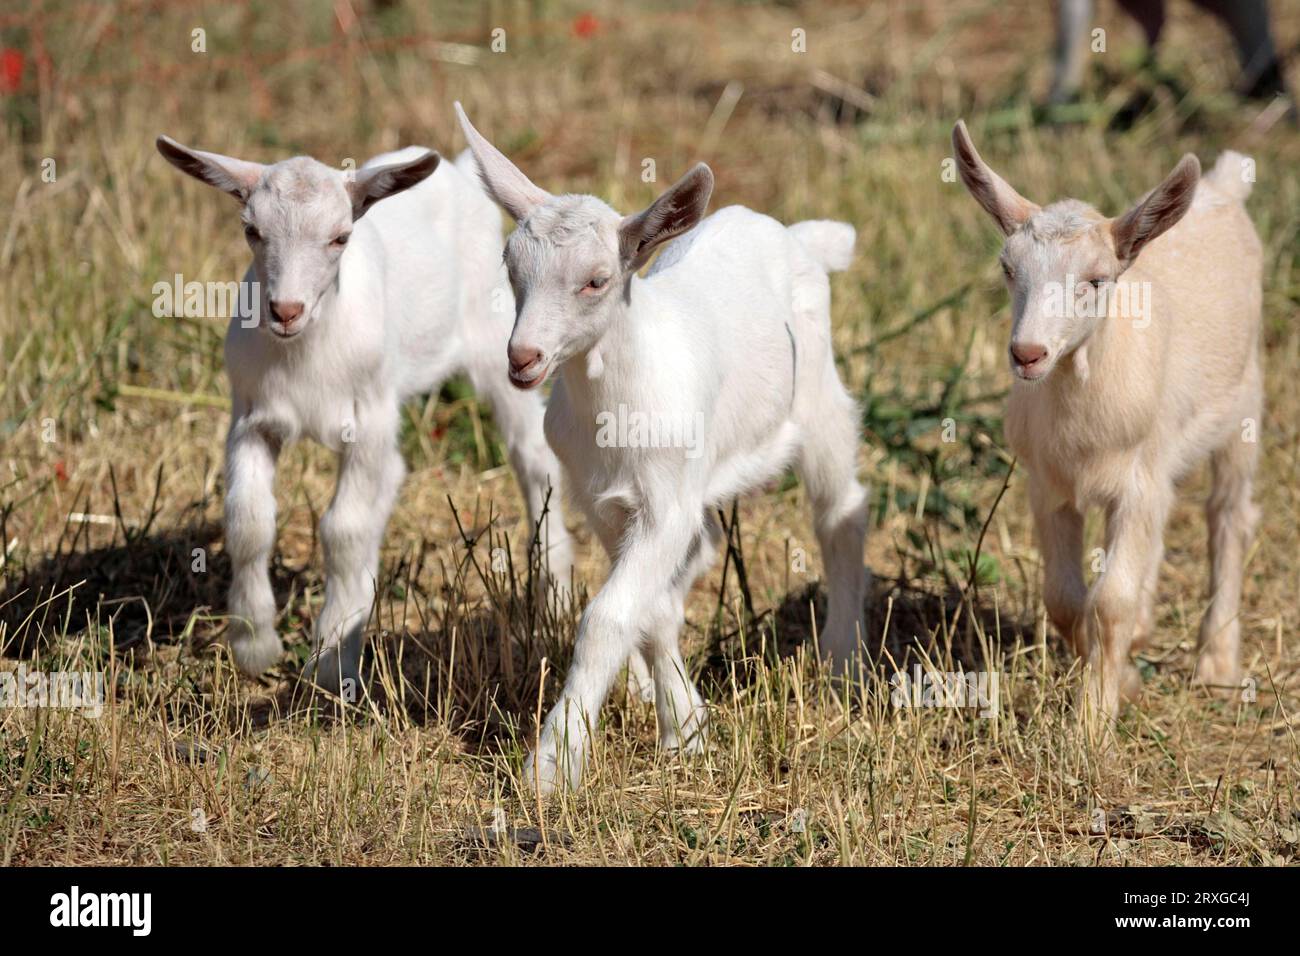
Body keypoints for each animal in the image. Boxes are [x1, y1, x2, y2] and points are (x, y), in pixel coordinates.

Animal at [156, 136, 575, 692]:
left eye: (340, 237)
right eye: (252, 230)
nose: (286, 310)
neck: (307, 353)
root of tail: (460, 173)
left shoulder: (367, 421)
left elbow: (343, 529)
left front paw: (331, 663)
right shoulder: (250, 419)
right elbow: (248, 520)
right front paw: (254, 643)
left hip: (499, 346)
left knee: (531, 456)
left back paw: (555, 594)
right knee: (393, 474)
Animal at [455, 103, 869, 792]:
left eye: (596, 281)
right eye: (511, 269)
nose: (523, 358)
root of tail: (799, 238)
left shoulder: (664, 502)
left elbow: (607, 618)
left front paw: (553, 765)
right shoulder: (605, 500)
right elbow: (645, 609)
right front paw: (685, 725)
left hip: (819, 403)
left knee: (842, 513)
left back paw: (843, 662)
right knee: (706, 546)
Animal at [952, 120, 1262, 730]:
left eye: (1096, 280)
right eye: (1008, 269)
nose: (1027, 354)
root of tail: (1224, 186)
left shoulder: (1138, 484)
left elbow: (1110, 601)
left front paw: (1091, 724)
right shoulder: (1048, 485)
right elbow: (1065, 599)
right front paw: (1116, 680)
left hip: (1245, 402)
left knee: (1228, 516)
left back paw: (1216, 663)